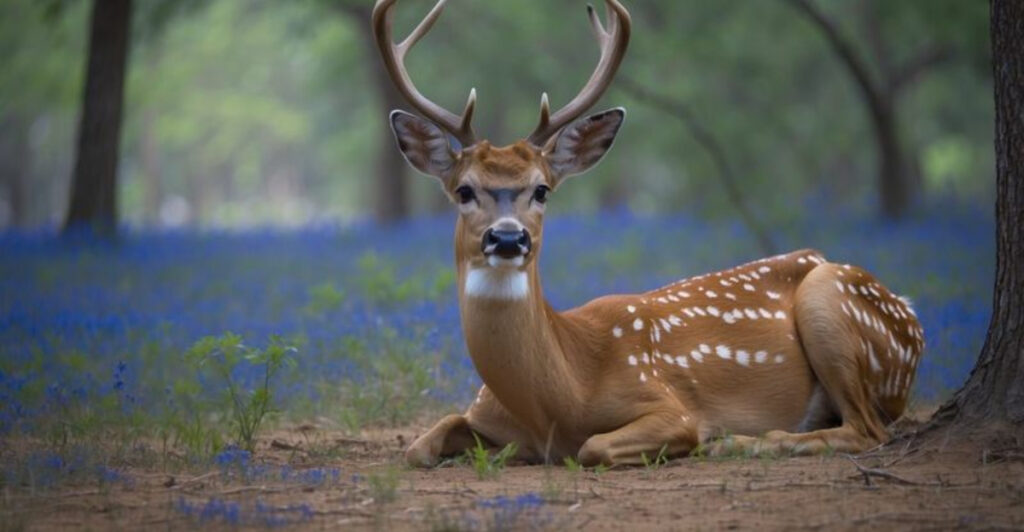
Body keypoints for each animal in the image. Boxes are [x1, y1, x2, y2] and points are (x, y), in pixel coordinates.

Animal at [372, 0, 925, 467]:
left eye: (542, 189)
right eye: (463, 190)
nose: (507, 239)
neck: (557, 399)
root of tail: (910, 315)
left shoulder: (668, 404)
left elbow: (593, 446)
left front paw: (705, 439)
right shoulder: (480, 410)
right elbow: (419, 446)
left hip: (830, 302)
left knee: (869, 429)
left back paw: (743, 441)